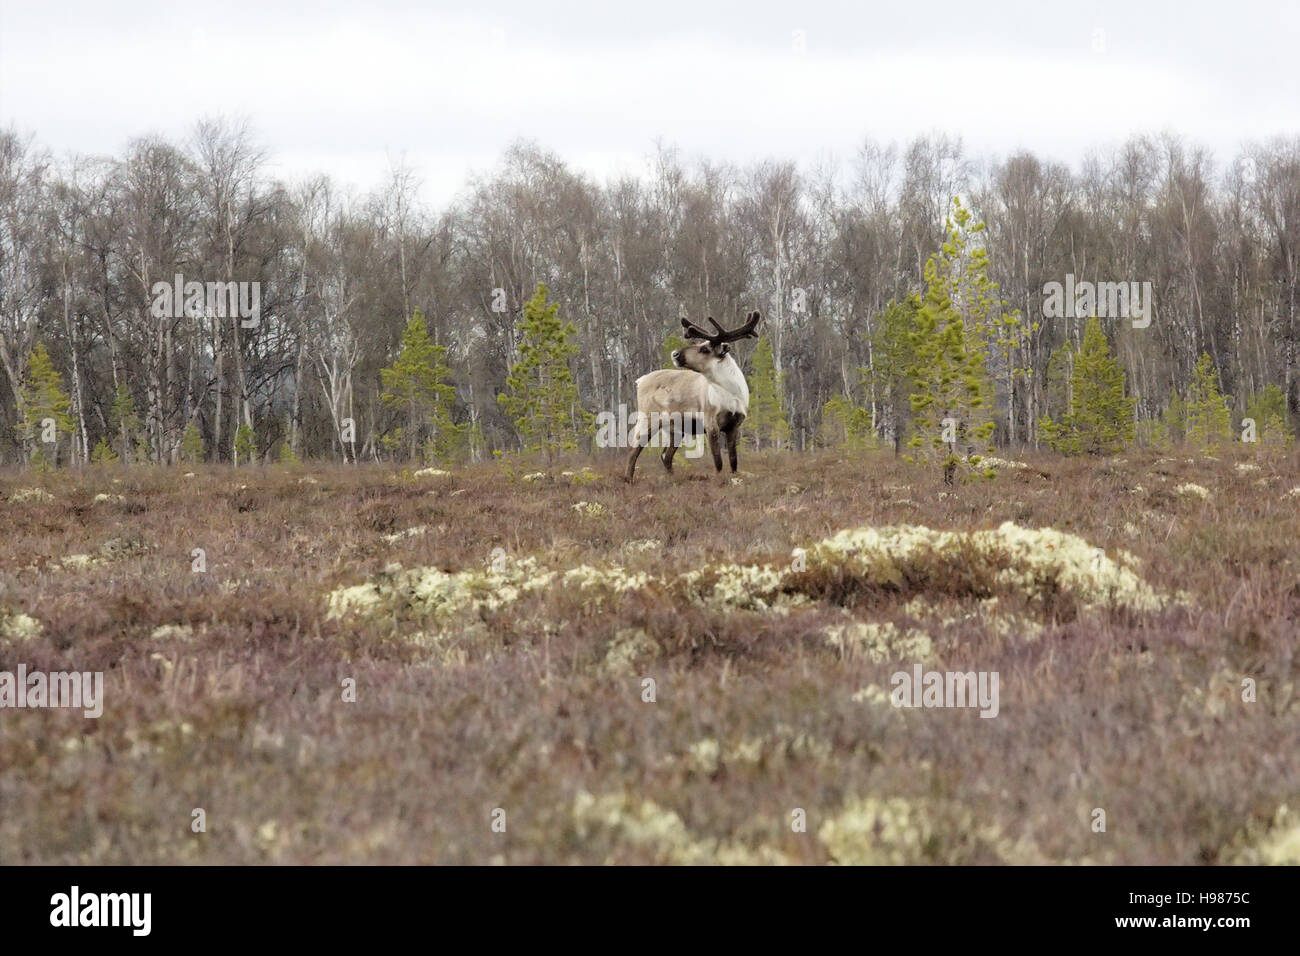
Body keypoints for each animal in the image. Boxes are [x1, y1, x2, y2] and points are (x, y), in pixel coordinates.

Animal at [624, 311, 760, 482]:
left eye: (705, 349)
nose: (675, 354)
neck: (732, 394)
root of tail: (640, 380)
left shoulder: (734, 425)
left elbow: (733, 462)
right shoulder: (711, 422)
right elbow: (718, 462)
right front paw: (718, 479)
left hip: (675, 429)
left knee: (665, 456)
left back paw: (672, 479)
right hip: (647, 419)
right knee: (633, 451)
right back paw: (629, 481)